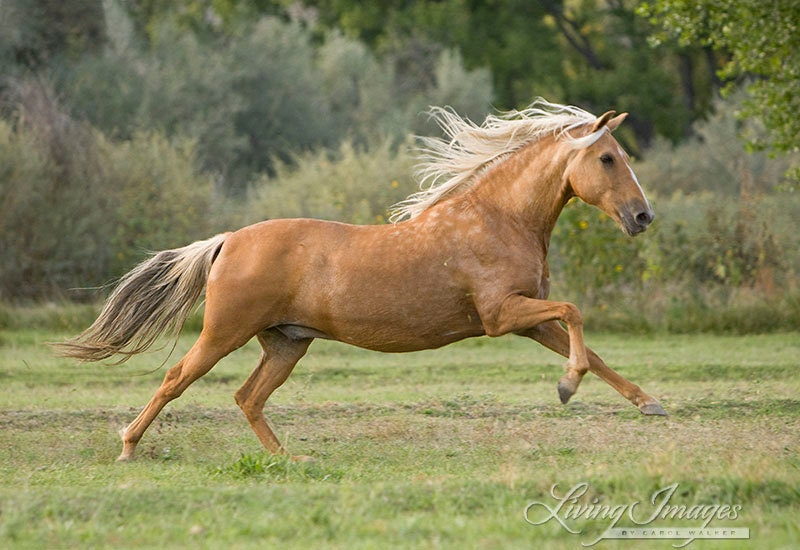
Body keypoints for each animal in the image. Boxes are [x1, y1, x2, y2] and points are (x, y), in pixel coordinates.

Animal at [56, 99, 666, 462]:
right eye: (608, 158)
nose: (643, 217)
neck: (498, 218)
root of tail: (227, 240)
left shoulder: (527, 320)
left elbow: (590, 349)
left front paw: (647, 403)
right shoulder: (502, 316)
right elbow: (575, 315)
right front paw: (567, 388)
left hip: (287, 343)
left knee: (247, 396)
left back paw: (287, 458)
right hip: (224, 332)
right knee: (176, 378)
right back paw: (128, 446)